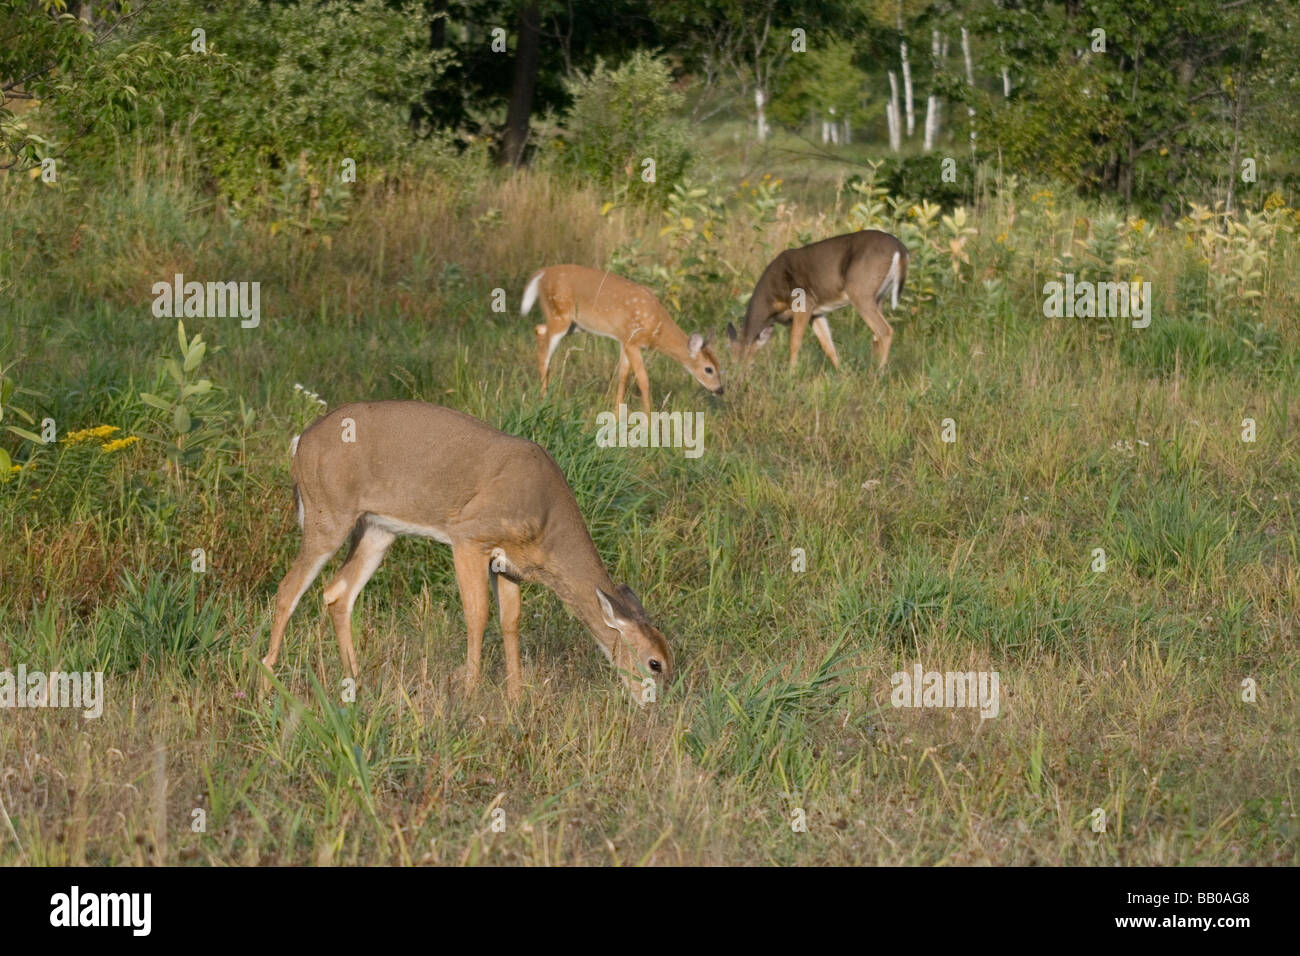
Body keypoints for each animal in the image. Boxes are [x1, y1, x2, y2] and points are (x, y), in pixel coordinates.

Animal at [261, 401, 672, 703]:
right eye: (655, 664)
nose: (654, 705)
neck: (547, 520)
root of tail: (301, 441)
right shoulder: (468, 537)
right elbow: (478, 616)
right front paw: (471, 692)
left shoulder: (509, 566)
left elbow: (510, 622)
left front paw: (516, 696)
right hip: (327, 514)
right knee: (287, 589)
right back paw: (267, 680)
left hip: (378, 529)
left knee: (338, 592)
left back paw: (355, 681)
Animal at [521, 264, 723, 415]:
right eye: (709, 369)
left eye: (720, 366)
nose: (720, 390)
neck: (657, 330)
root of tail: (541, 273)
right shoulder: (633, 341)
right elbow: (643, 379)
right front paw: (648, 418)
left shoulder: (624, 340)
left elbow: (623, 376)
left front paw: (617, 413)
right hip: (560, 312)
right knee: (545, 349)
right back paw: (544, 399)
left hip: (574, 325)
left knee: (539, 329)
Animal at [727, 230, 908, 372]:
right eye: (731, 362)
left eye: (744, 362)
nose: (736, 381)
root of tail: (900, 248)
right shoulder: (817, 313)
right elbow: (828, 345)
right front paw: (841, 373)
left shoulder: (804, 302)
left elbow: (794, 342)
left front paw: (790, 374)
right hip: (879, 296)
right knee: (876, 335)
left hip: (860, 292)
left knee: (885, 330)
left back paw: (879, 373)